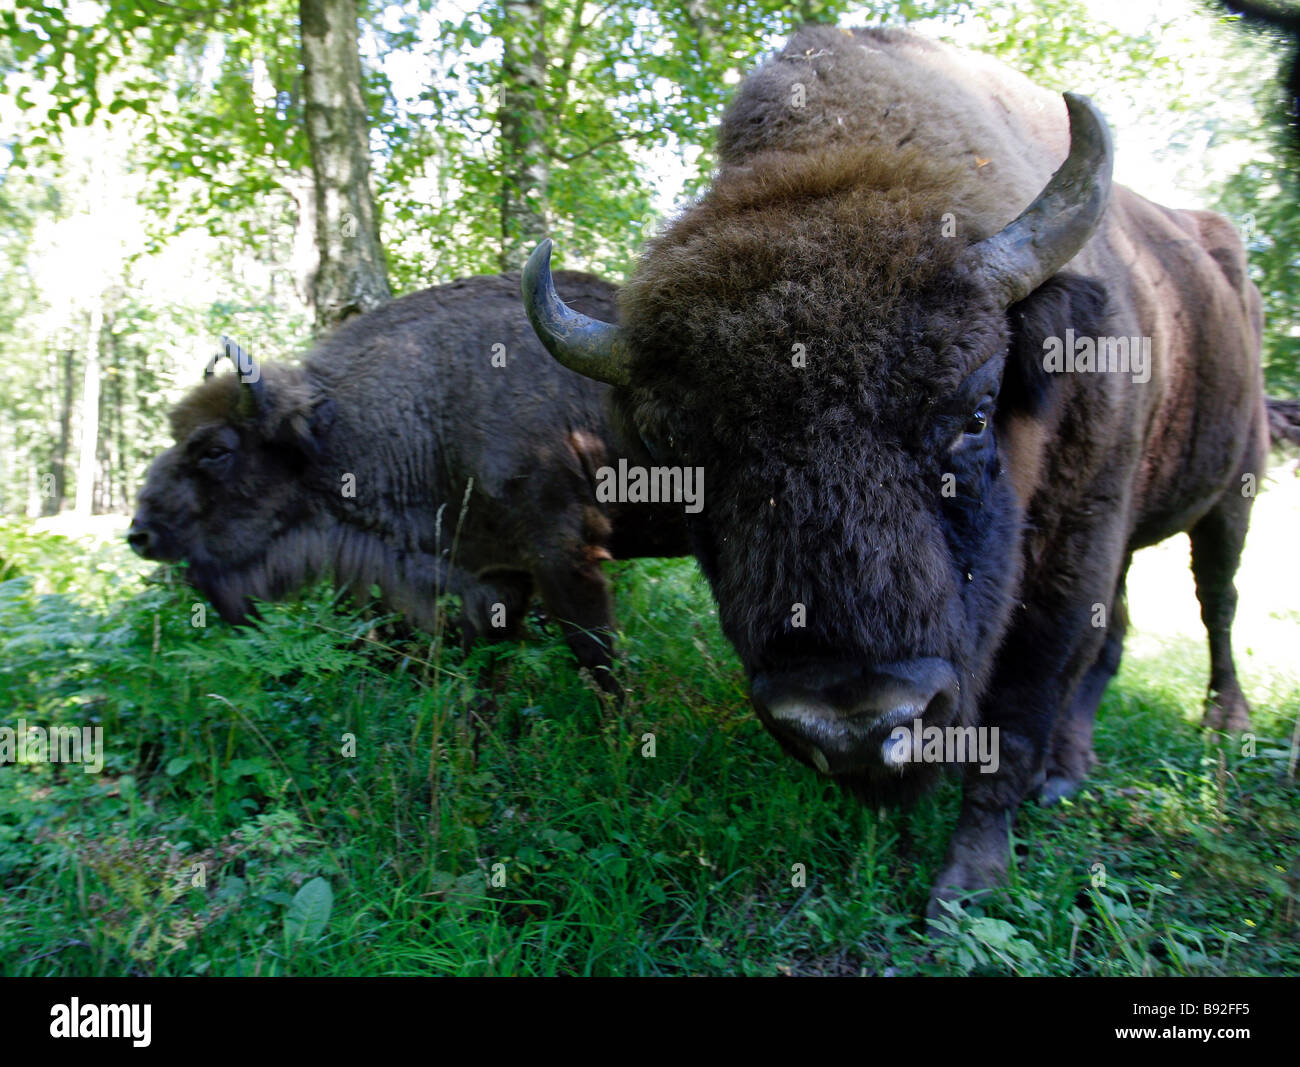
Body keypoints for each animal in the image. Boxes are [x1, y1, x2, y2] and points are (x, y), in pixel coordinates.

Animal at [128, 272, 686, 692]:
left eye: (215, 450)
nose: (140, 533)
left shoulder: (566, 558)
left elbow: (597, 657)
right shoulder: (494, 576)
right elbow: (486, 672)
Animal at [524, 26, 1271, 913]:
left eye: (976, 413)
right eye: (686, 455)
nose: (855, 722)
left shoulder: (1077, 544)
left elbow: (1025, 700)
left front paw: (966, 883)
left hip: (1232, 493)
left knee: (1215, 600)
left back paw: (1218, 723)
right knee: (1122, 631)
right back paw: (1072, 767)